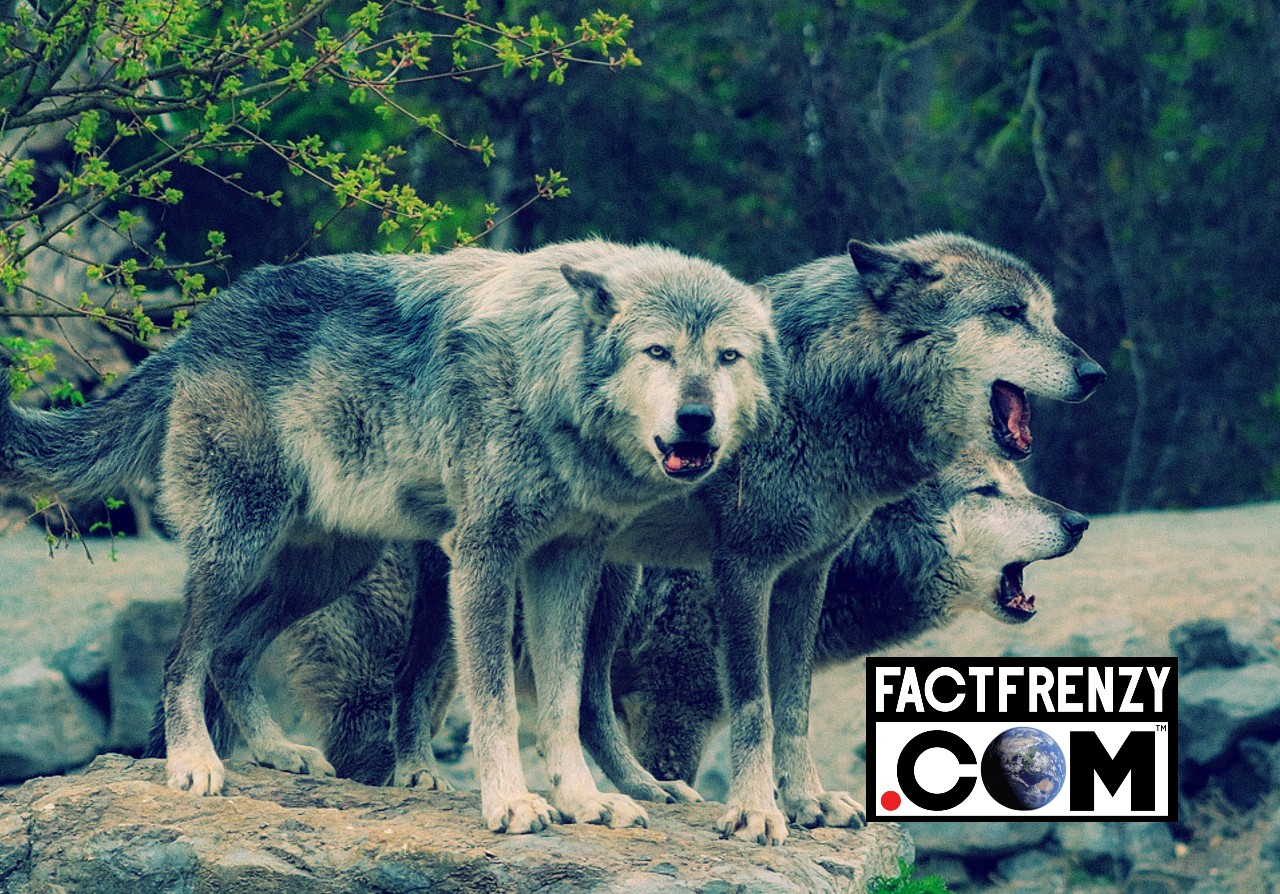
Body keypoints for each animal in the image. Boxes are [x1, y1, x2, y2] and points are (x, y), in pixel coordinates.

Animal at [0, 240, 781, 835]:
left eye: (728, 357)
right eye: (658, 351)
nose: (696, 419)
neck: (545, 374)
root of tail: (201, 324)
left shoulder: (565, 563)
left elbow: (560, 703)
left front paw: (584, 801)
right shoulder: (484, 557)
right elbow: (497, 701)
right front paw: (511, 802)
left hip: (327, 570)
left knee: (227, 653)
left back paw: (279, 753)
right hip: (238, 548)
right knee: (180, 660)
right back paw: (195, 764)